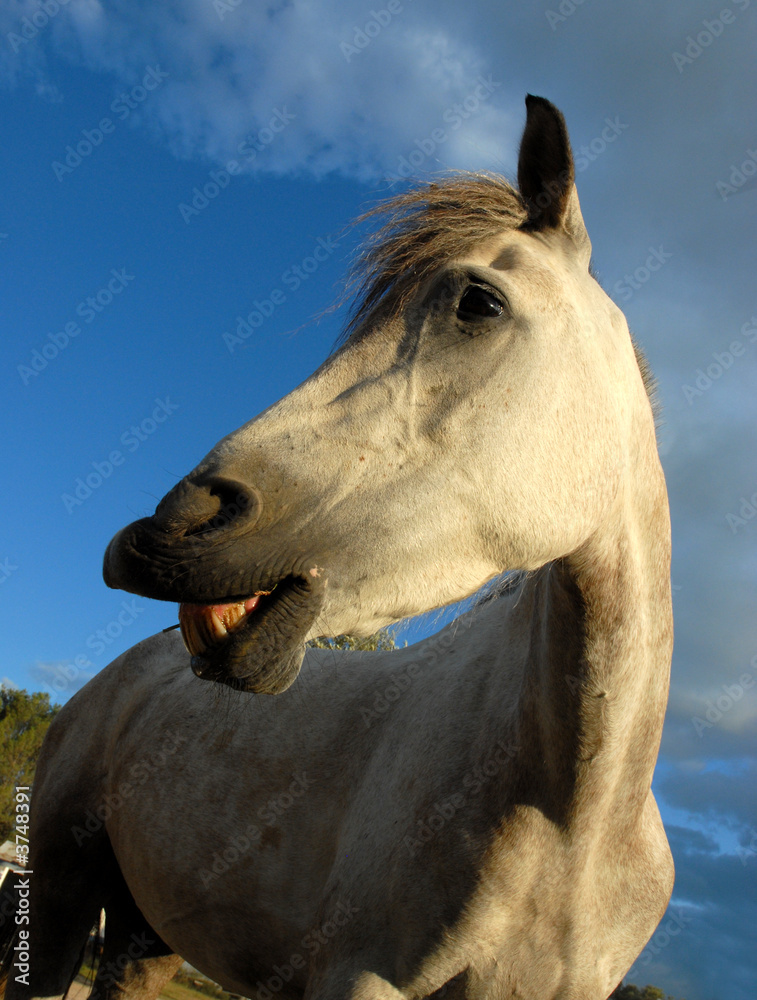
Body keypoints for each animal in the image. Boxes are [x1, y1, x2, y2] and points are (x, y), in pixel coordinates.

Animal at [1, 95, 674, 1000]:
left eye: (479, 303)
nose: (165, 532)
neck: (576, 812)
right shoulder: (361, 979)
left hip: (144, 935)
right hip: (58, 893)